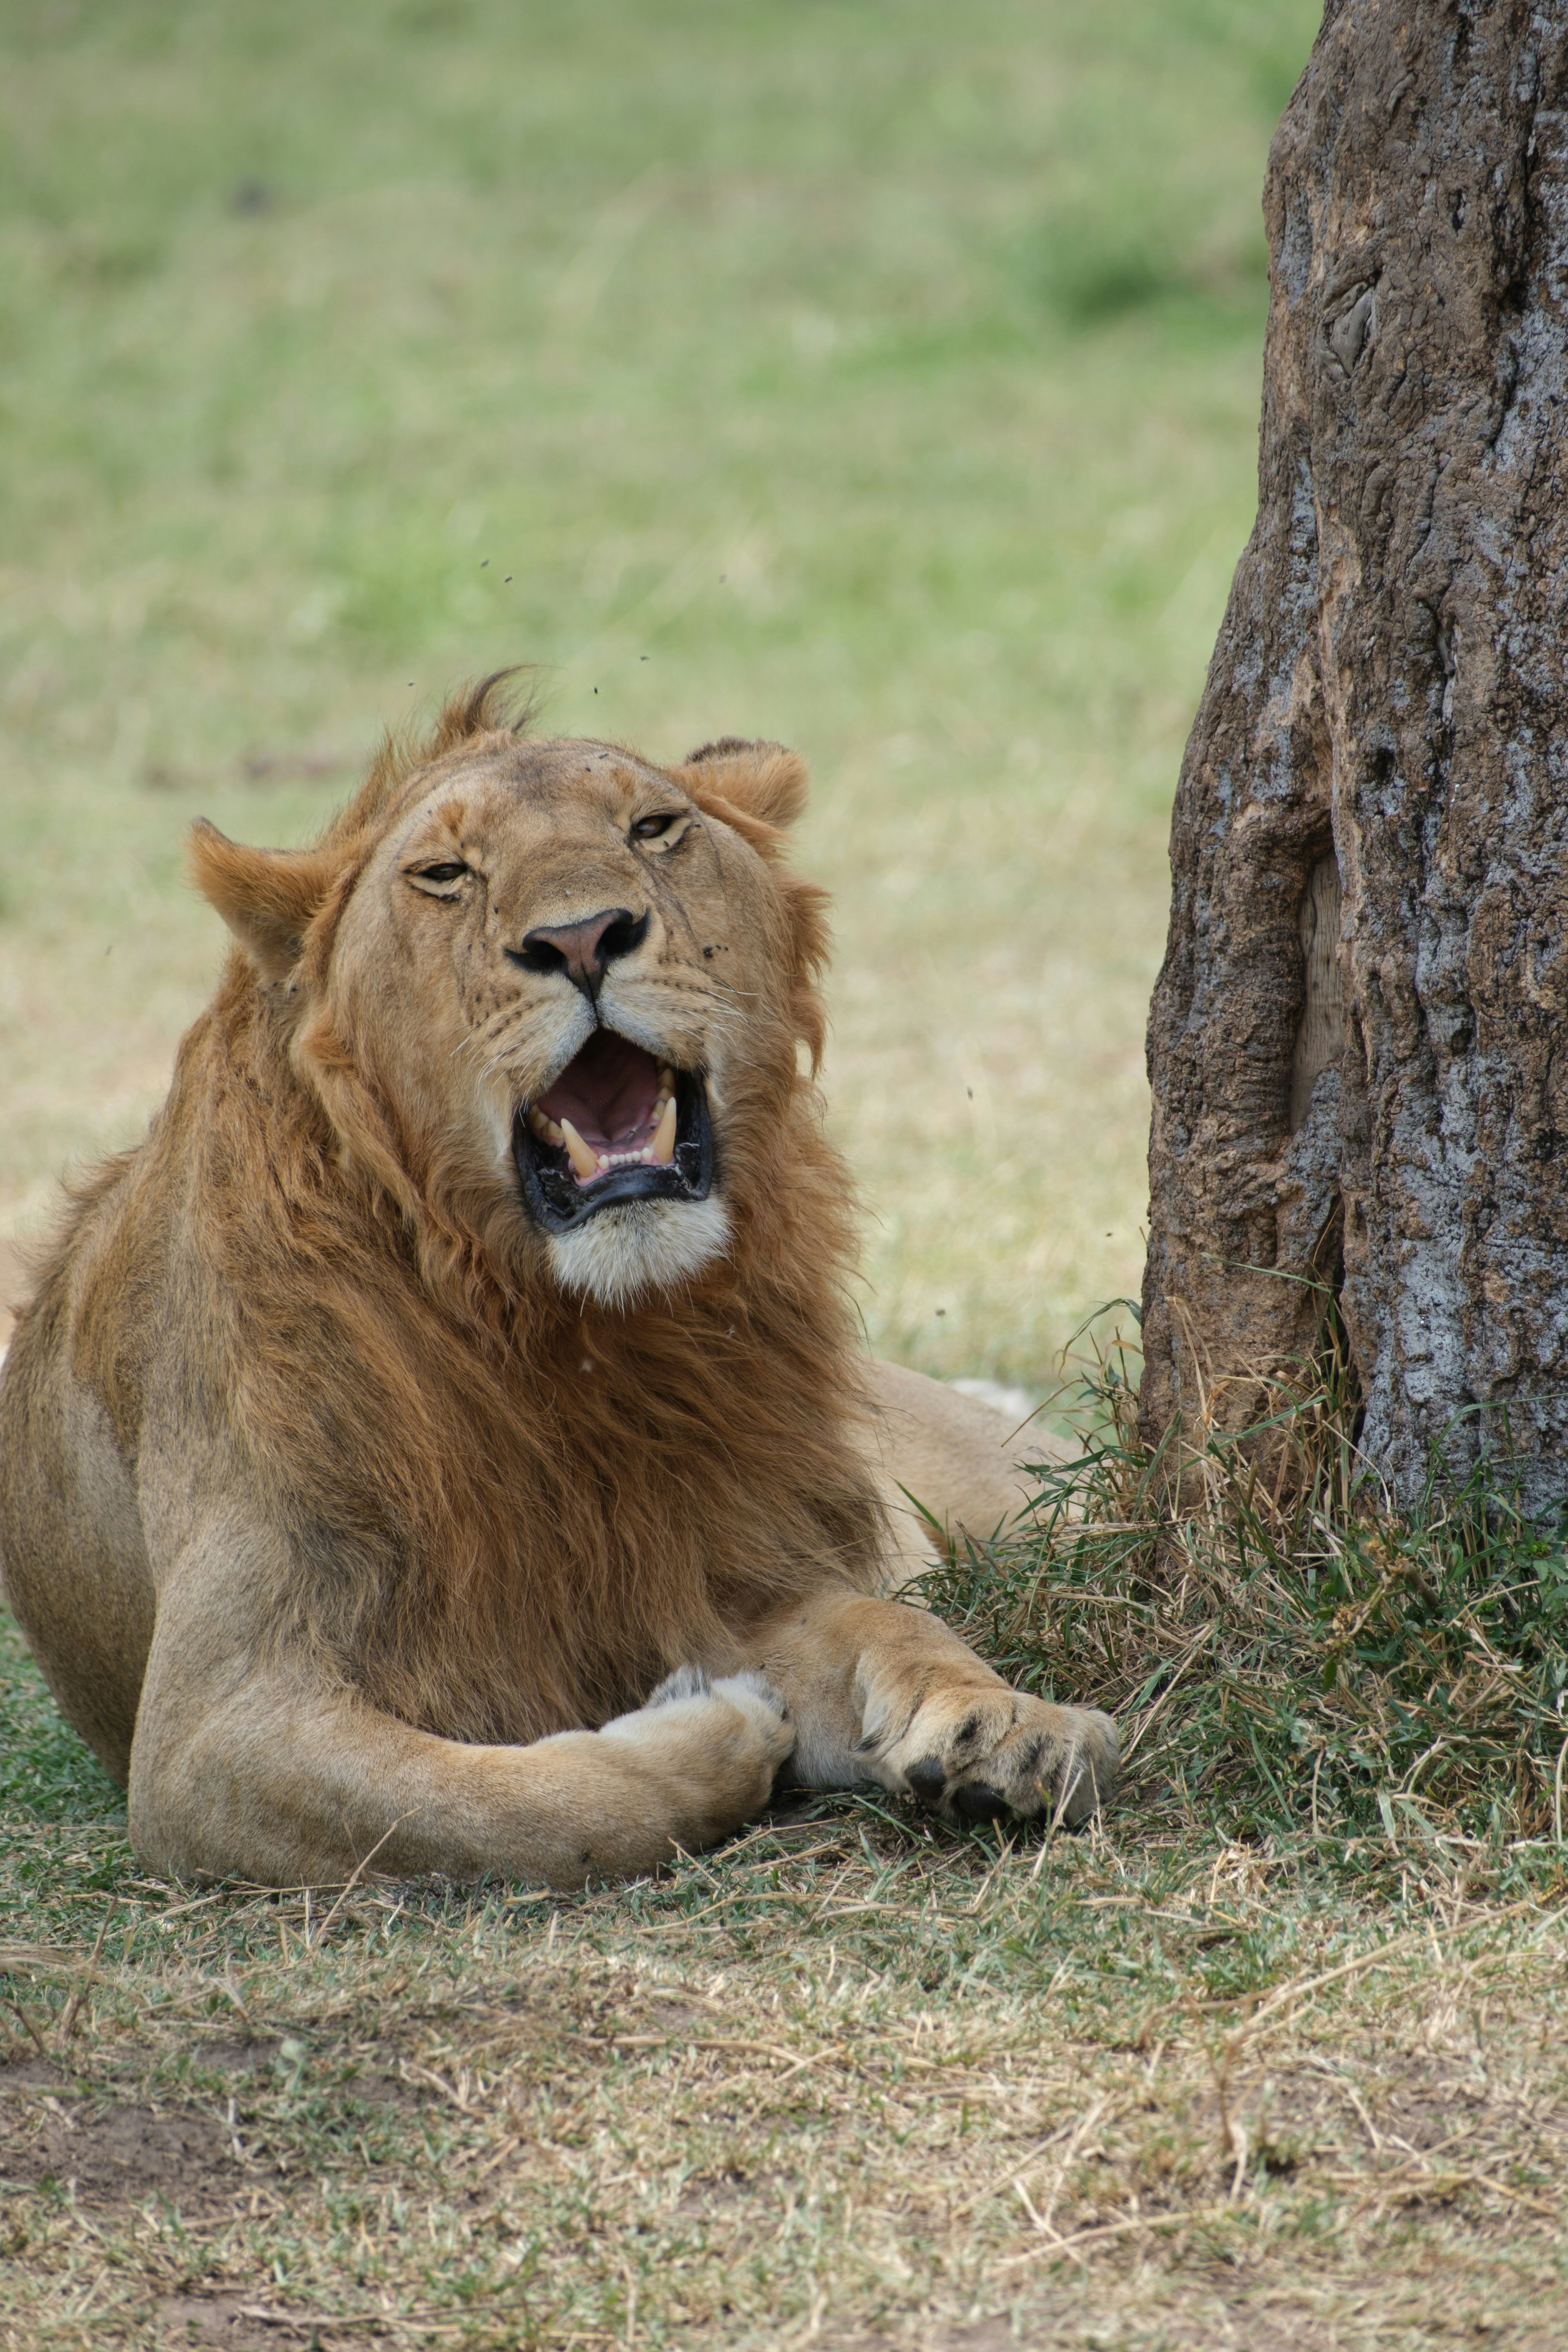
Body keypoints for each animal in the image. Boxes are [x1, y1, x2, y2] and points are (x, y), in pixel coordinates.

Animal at [0, 680, 1116, 1889]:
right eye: (446, 874)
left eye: (654, 827)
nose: (582, 937)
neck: (555, 1325)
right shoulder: (212, 1725)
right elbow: (508, 1809)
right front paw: (717, 1730)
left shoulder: (719, 1568)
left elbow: (881, 1621)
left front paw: (1001, 1722)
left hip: (1027, 1499)